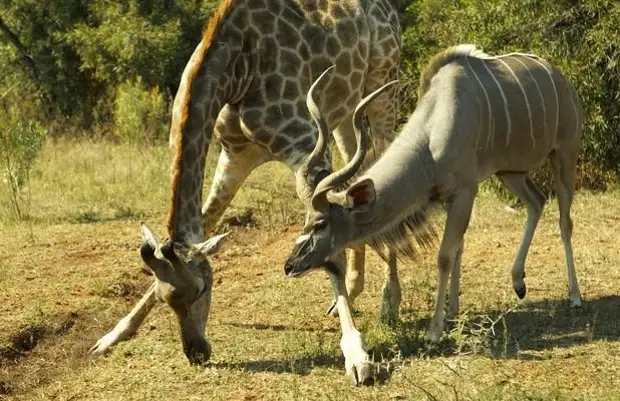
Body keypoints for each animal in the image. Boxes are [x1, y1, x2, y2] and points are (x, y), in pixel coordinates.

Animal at [92, 0, 402, 382]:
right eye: (165, 298)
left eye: (203, 289)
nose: (196, 352)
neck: (236, 73)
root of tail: (388, 9)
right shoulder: (236, 155)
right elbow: (205, 223)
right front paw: (111, 336)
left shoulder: (303, 144)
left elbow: (330, 250)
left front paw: (357, 357)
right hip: (346, 109)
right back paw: (357, 292)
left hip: (382, 89)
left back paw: (390, 301)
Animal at [286, 45, 588, 382]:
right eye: (305, 222)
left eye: (321, 223)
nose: (291, 265)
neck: (433, 131)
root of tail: (560, 78)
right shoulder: (448, 197)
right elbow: (458, 247)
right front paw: (453, 311)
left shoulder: (465, 191)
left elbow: (444, 255)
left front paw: (434, 330)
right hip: (510, 171)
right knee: (536, 202)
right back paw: (518, 282)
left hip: (564, 154)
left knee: (564, 221)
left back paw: (575, 296)